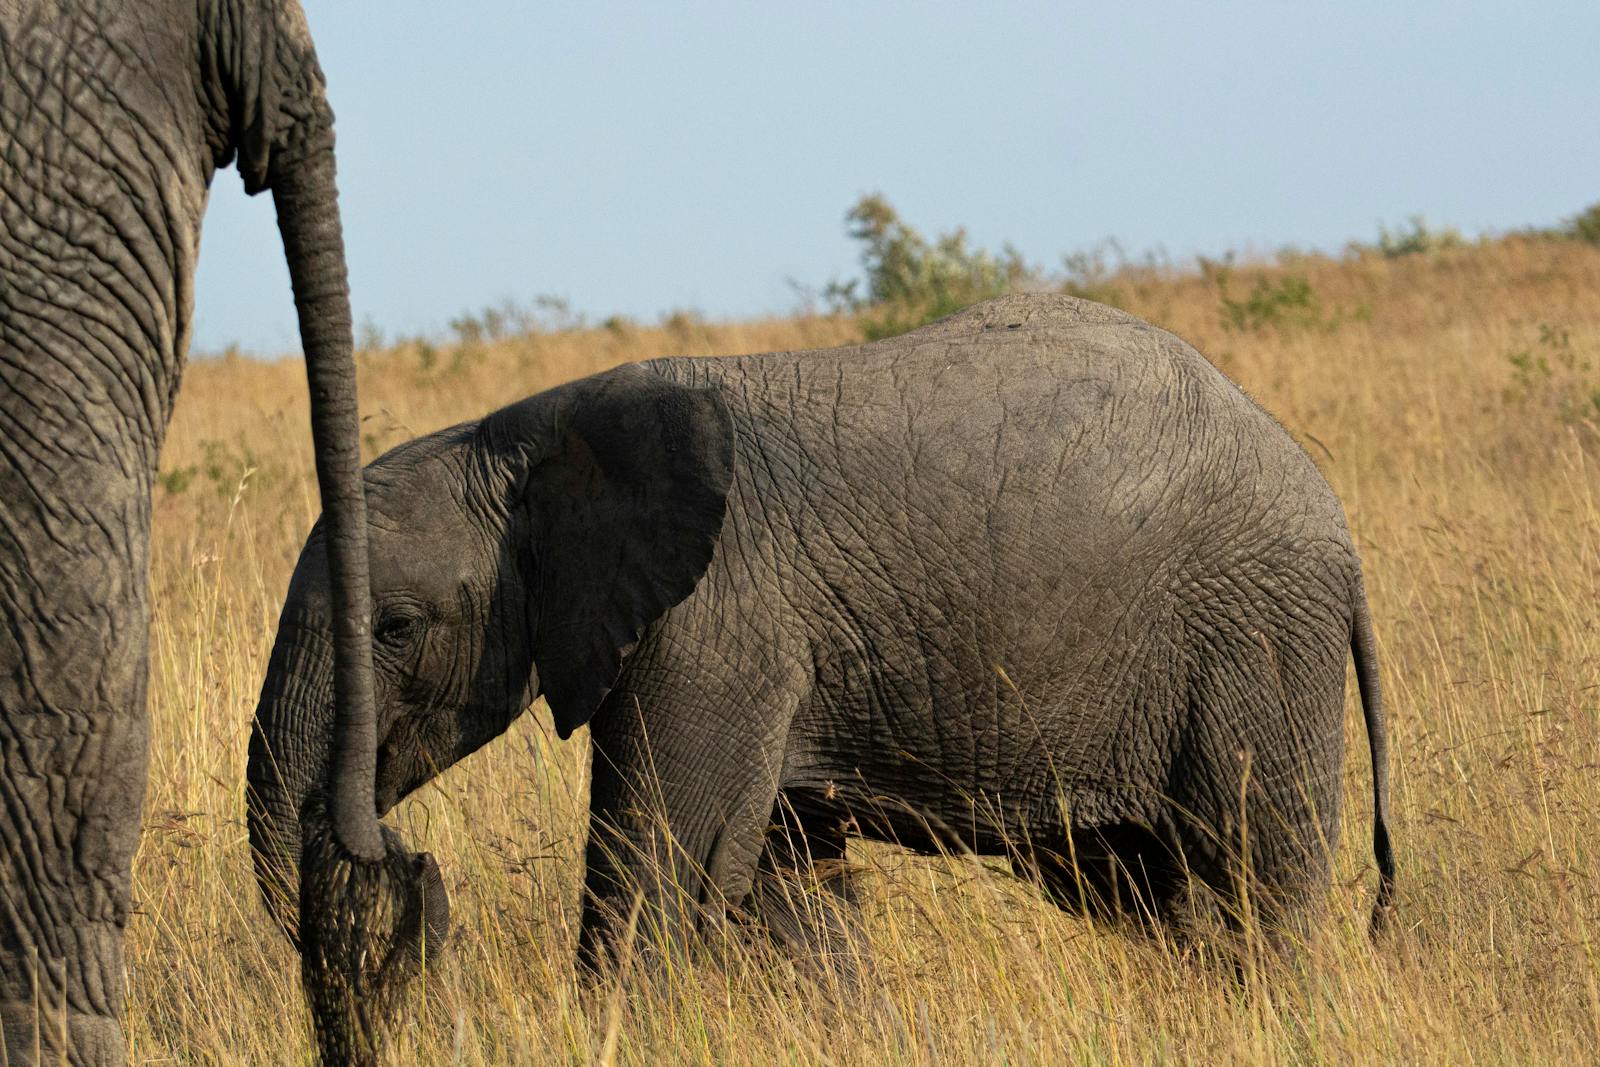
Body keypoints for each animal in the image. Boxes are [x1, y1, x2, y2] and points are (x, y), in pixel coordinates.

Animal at [248, 292, 1396, 1056]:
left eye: (396, 627)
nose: (409, 863)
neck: (522, 430)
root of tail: (1334, 521)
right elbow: (781, 877)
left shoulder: (718, 619)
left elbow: (662, 861)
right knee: (1158, 892)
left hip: (1255, 638)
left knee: (1257, 866)